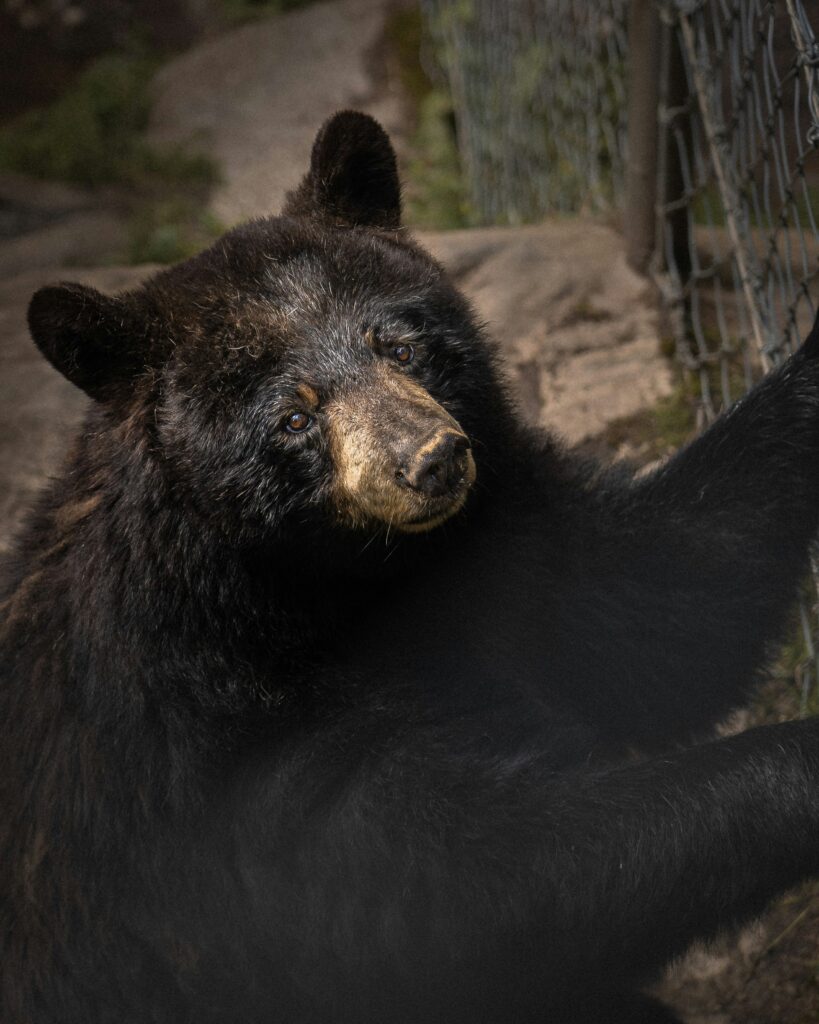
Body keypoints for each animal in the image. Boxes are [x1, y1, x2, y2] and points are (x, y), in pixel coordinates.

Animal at [5, 108, 819, 1024]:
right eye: (292, 417)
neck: (351, 583)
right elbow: (454, 888)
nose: (431, 460)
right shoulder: (225, 741)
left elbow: (654, 605)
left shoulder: (499, 549)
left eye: (399, 346)